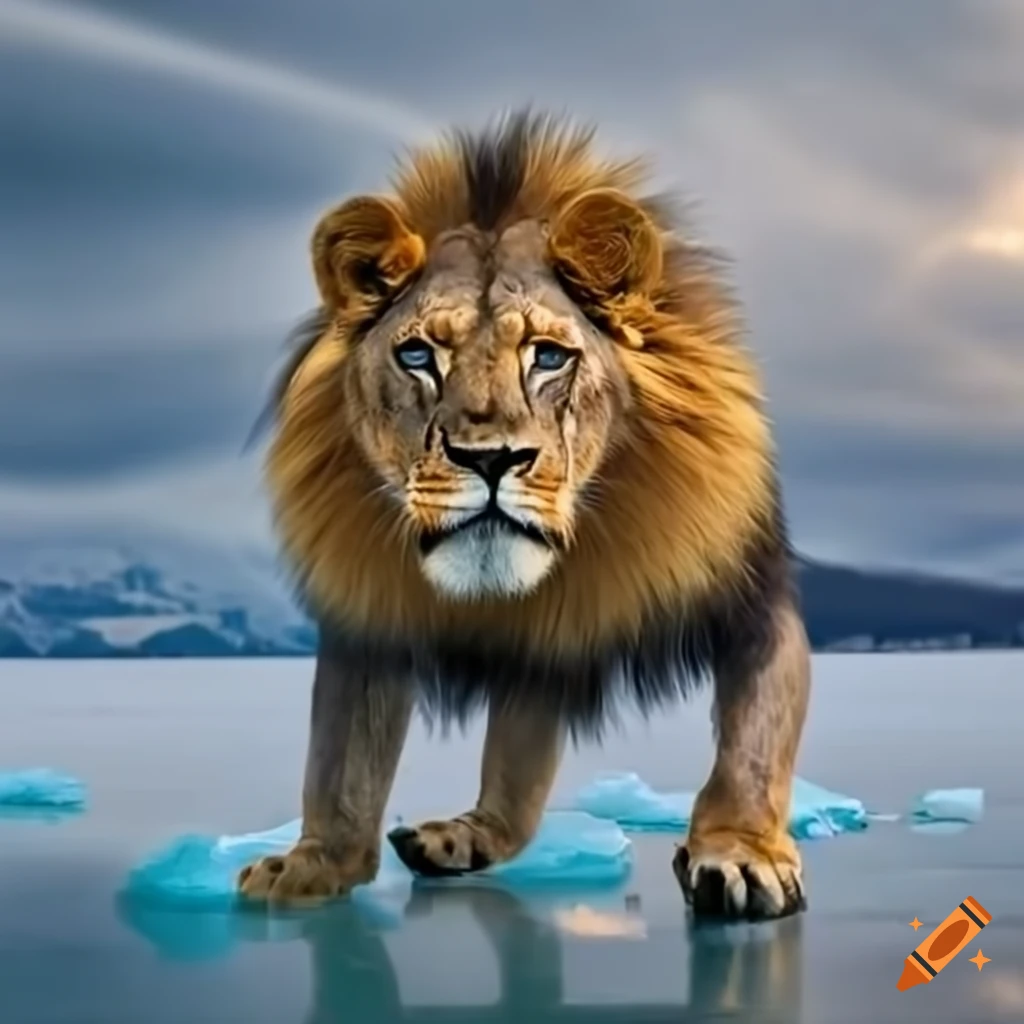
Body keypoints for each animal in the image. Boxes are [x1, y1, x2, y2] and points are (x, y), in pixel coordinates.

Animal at [239, 110, 811, 921]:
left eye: (547, 356)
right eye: (418, 356)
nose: (490, 460)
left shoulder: (750, 601)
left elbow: (752, 744)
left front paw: (739, 854)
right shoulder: (368, 612)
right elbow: (341, 761)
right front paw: (314, 862)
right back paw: (461, 835)